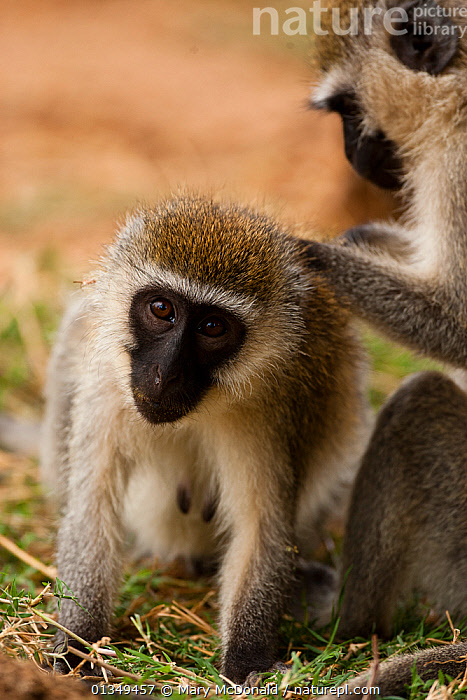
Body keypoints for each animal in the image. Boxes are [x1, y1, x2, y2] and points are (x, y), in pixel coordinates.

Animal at [41, 193, 370, 684]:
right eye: (162, 310)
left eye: (212, 328)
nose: (167, 372)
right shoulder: (108, 385)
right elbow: (92, 510)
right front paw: (77, 647)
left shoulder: (268, 411)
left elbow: (260, 529)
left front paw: (247, 661)